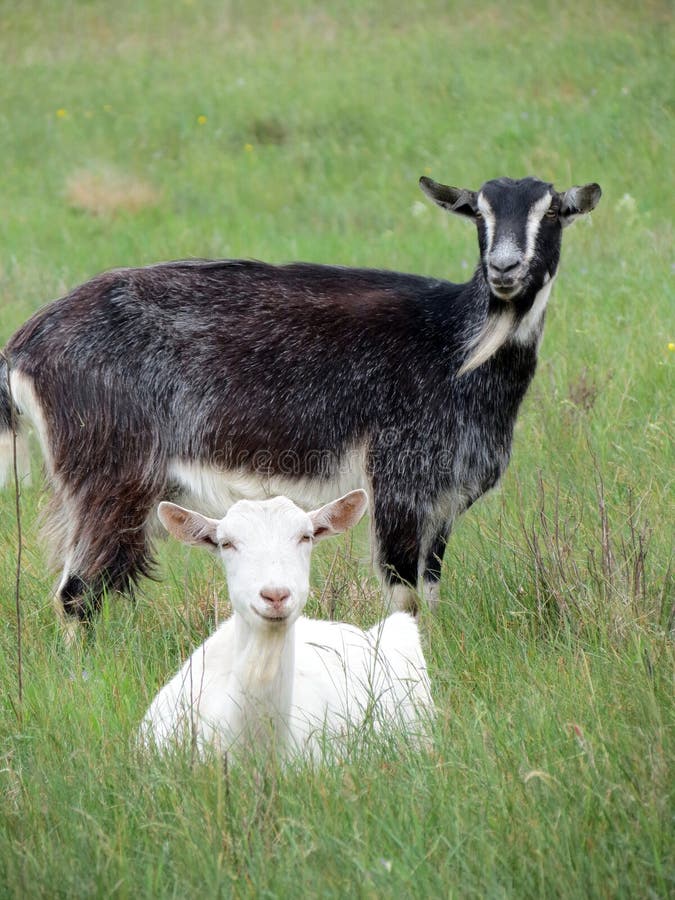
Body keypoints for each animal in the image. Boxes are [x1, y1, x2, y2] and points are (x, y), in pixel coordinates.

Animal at [0, 174, 601, 628]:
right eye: (478, 212)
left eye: (553, 212)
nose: (504, 268)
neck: (456, 344)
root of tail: (25, 344)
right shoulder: (401, 478)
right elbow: (403, 592)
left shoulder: (447, 495)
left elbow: (429, 589)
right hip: (111, 475)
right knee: (78, 591)